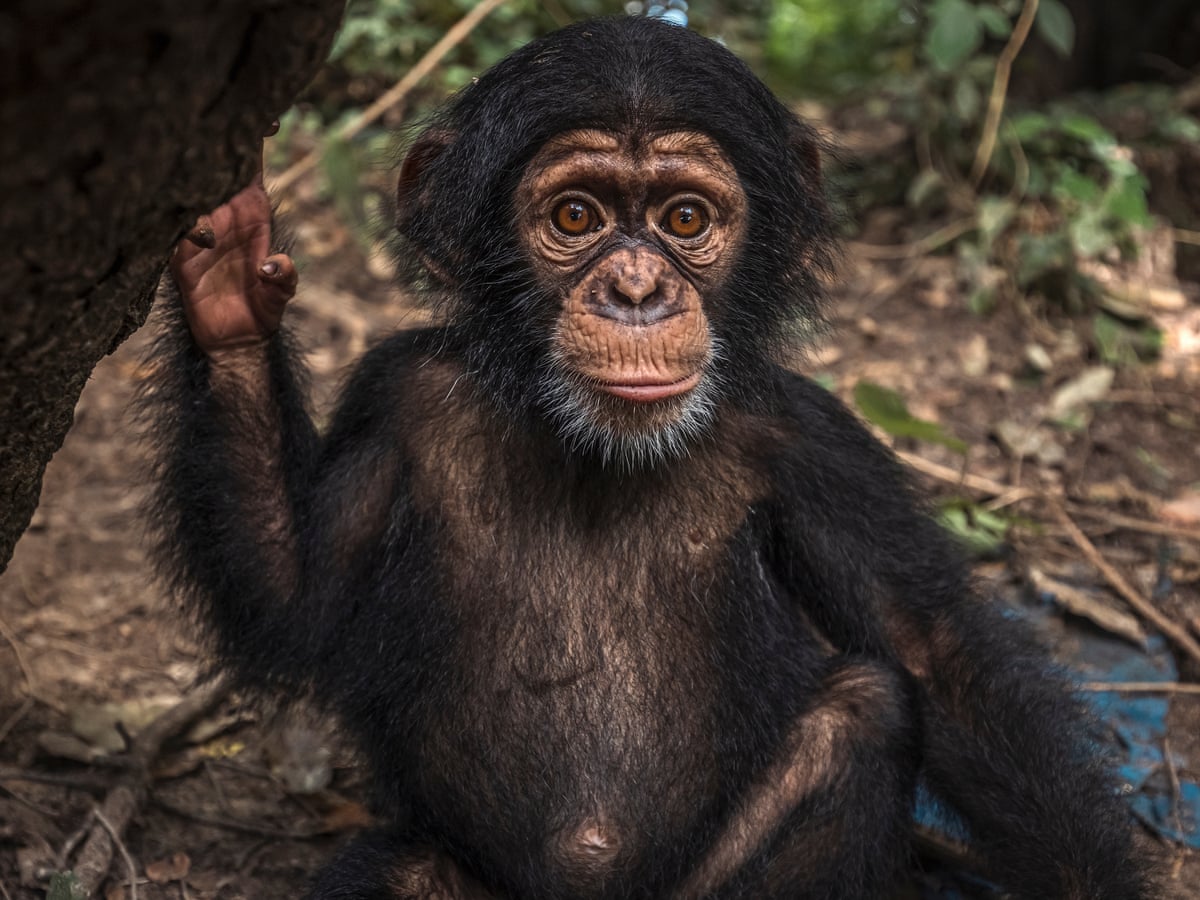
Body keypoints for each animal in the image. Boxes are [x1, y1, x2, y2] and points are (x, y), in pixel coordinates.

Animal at [147, 16, 1154, 900]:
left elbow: (933, 653)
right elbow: (294, 591)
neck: (591, 444)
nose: (637, 288)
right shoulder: (399, 398)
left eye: (685, 218)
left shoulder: (810, 441)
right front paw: (228, 289)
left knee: (865, 712)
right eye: (575, 215)